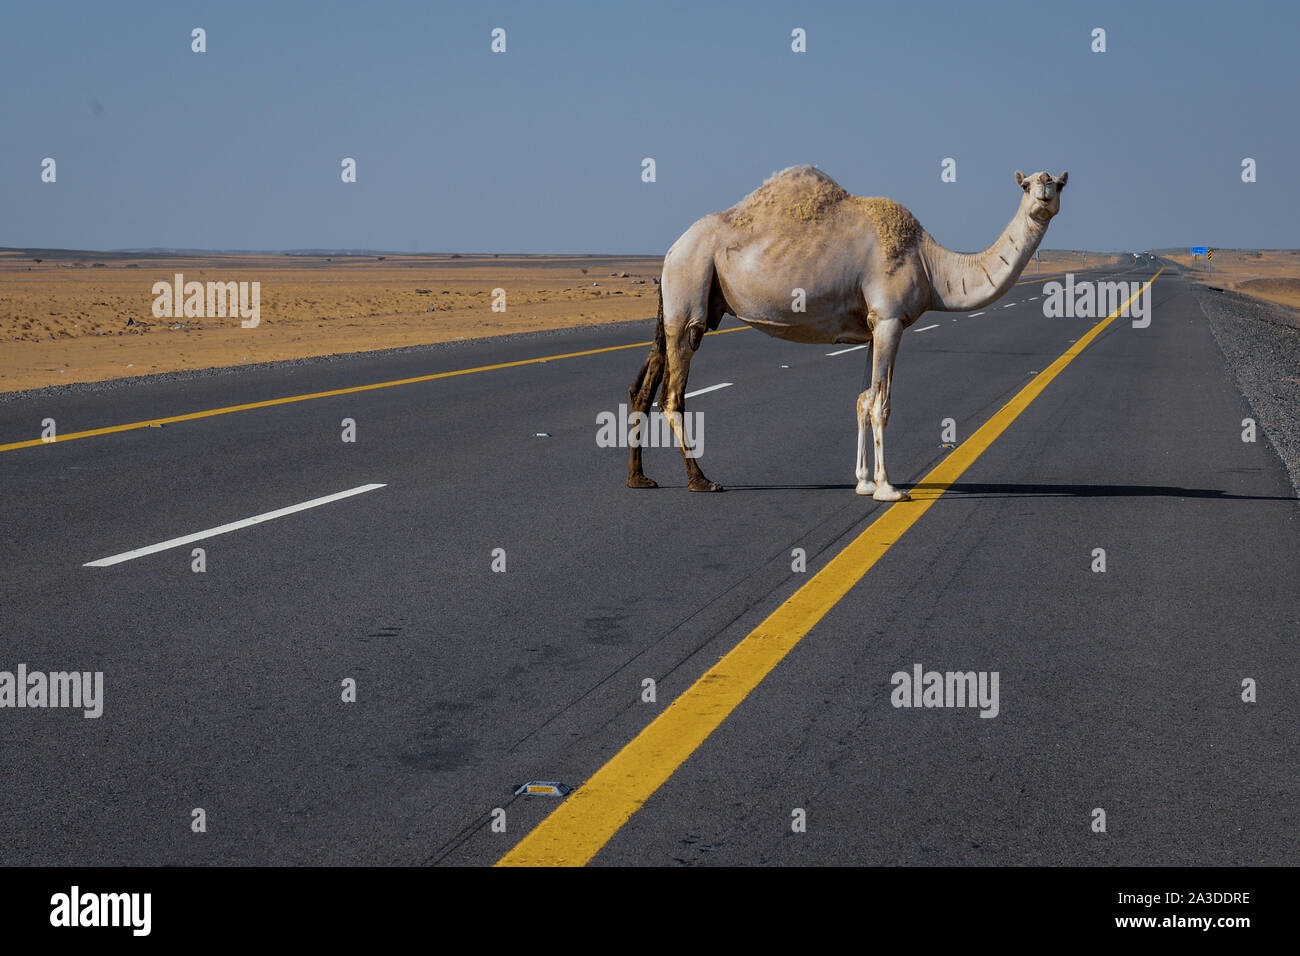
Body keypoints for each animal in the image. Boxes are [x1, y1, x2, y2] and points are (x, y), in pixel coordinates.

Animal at [626, 165, 1067, 500]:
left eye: (1060, 183)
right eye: (1026, 184)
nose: (1045, 190)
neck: (932, 266)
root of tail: (671, 249)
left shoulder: (873, 326)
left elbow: (861, 399)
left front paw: (863, 481)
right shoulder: (889, 319)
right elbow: (881, 404)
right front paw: (888, 488)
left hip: (677, 298)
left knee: (643, 387)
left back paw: (640, 478)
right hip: (690, 288)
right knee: (673, 395)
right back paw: (701, 480)